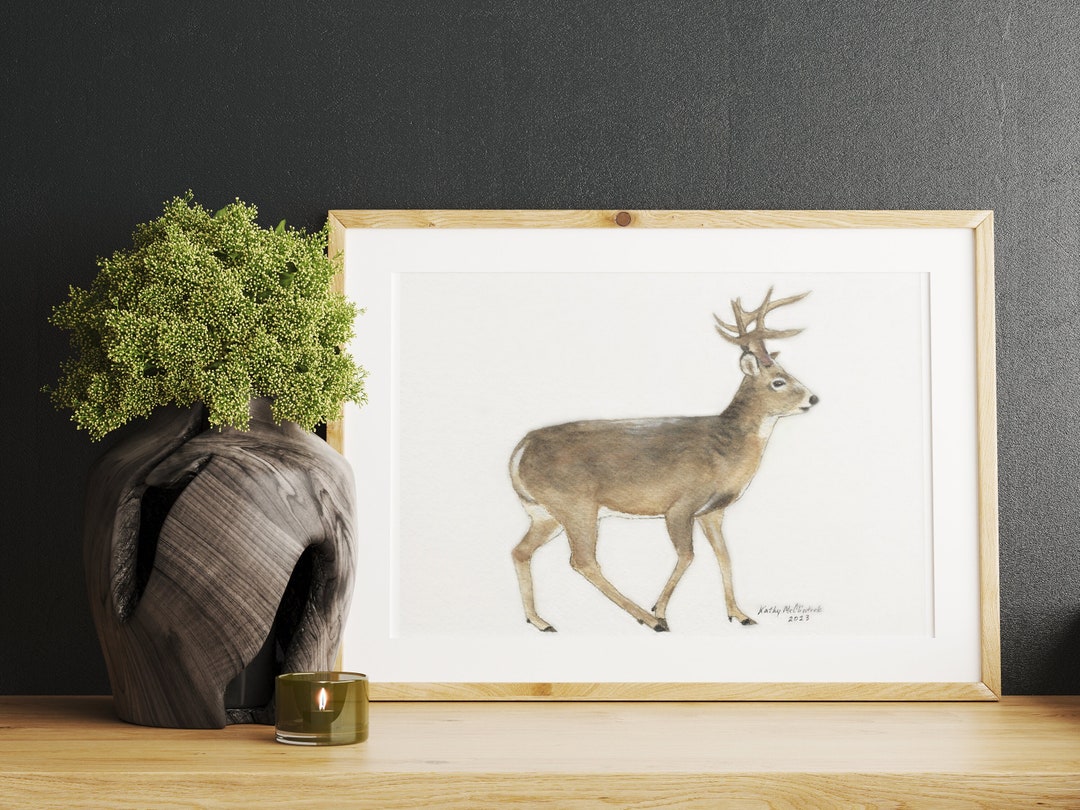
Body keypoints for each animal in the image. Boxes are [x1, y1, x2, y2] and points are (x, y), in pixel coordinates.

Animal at [509, 288, 818, 632]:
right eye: (779, 381)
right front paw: (660, 610)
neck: (725, 448)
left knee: (520, 552)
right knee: (583, 560)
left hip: (544, 512)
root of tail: (520, 450)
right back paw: (645, 618)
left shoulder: (713, 511)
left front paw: (739, 614)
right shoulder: (680, 504)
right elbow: (688, 556)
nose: (813, 398)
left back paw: (539, 620)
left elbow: (724, 555)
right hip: (576, 504)